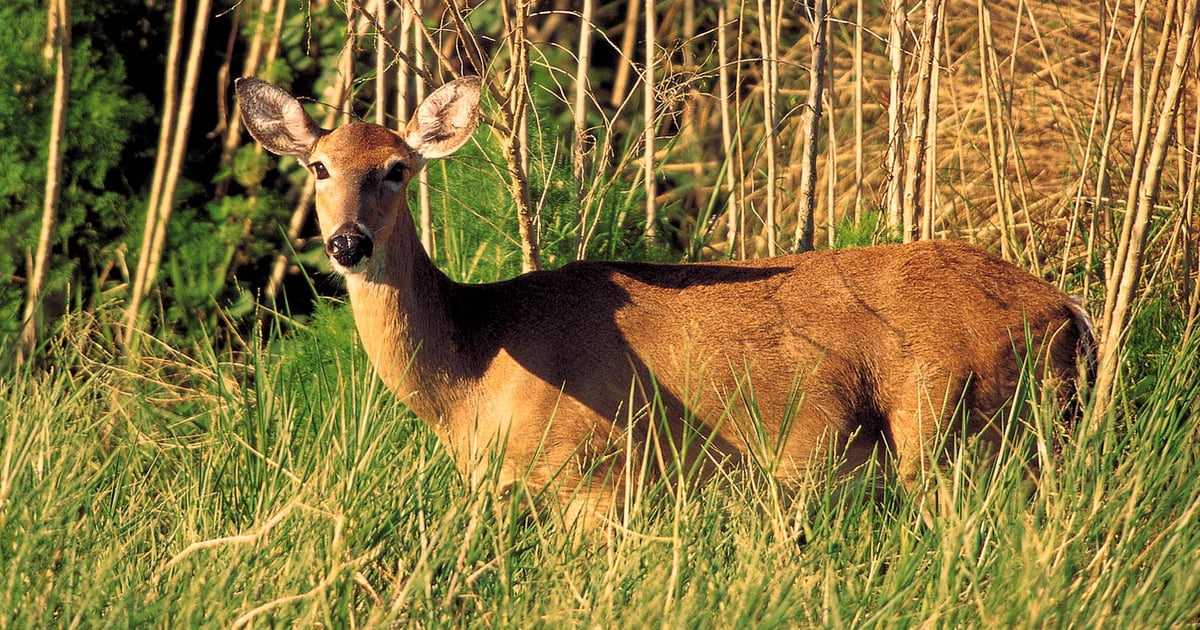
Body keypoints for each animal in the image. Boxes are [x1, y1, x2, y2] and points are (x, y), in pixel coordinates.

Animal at [236, 75, 1093, 526]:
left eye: (397, 169)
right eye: (317, 166)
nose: (347, 243)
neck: (473, 373)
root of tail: (1064, 311)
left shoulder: (594, 474)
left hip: (953, 428)